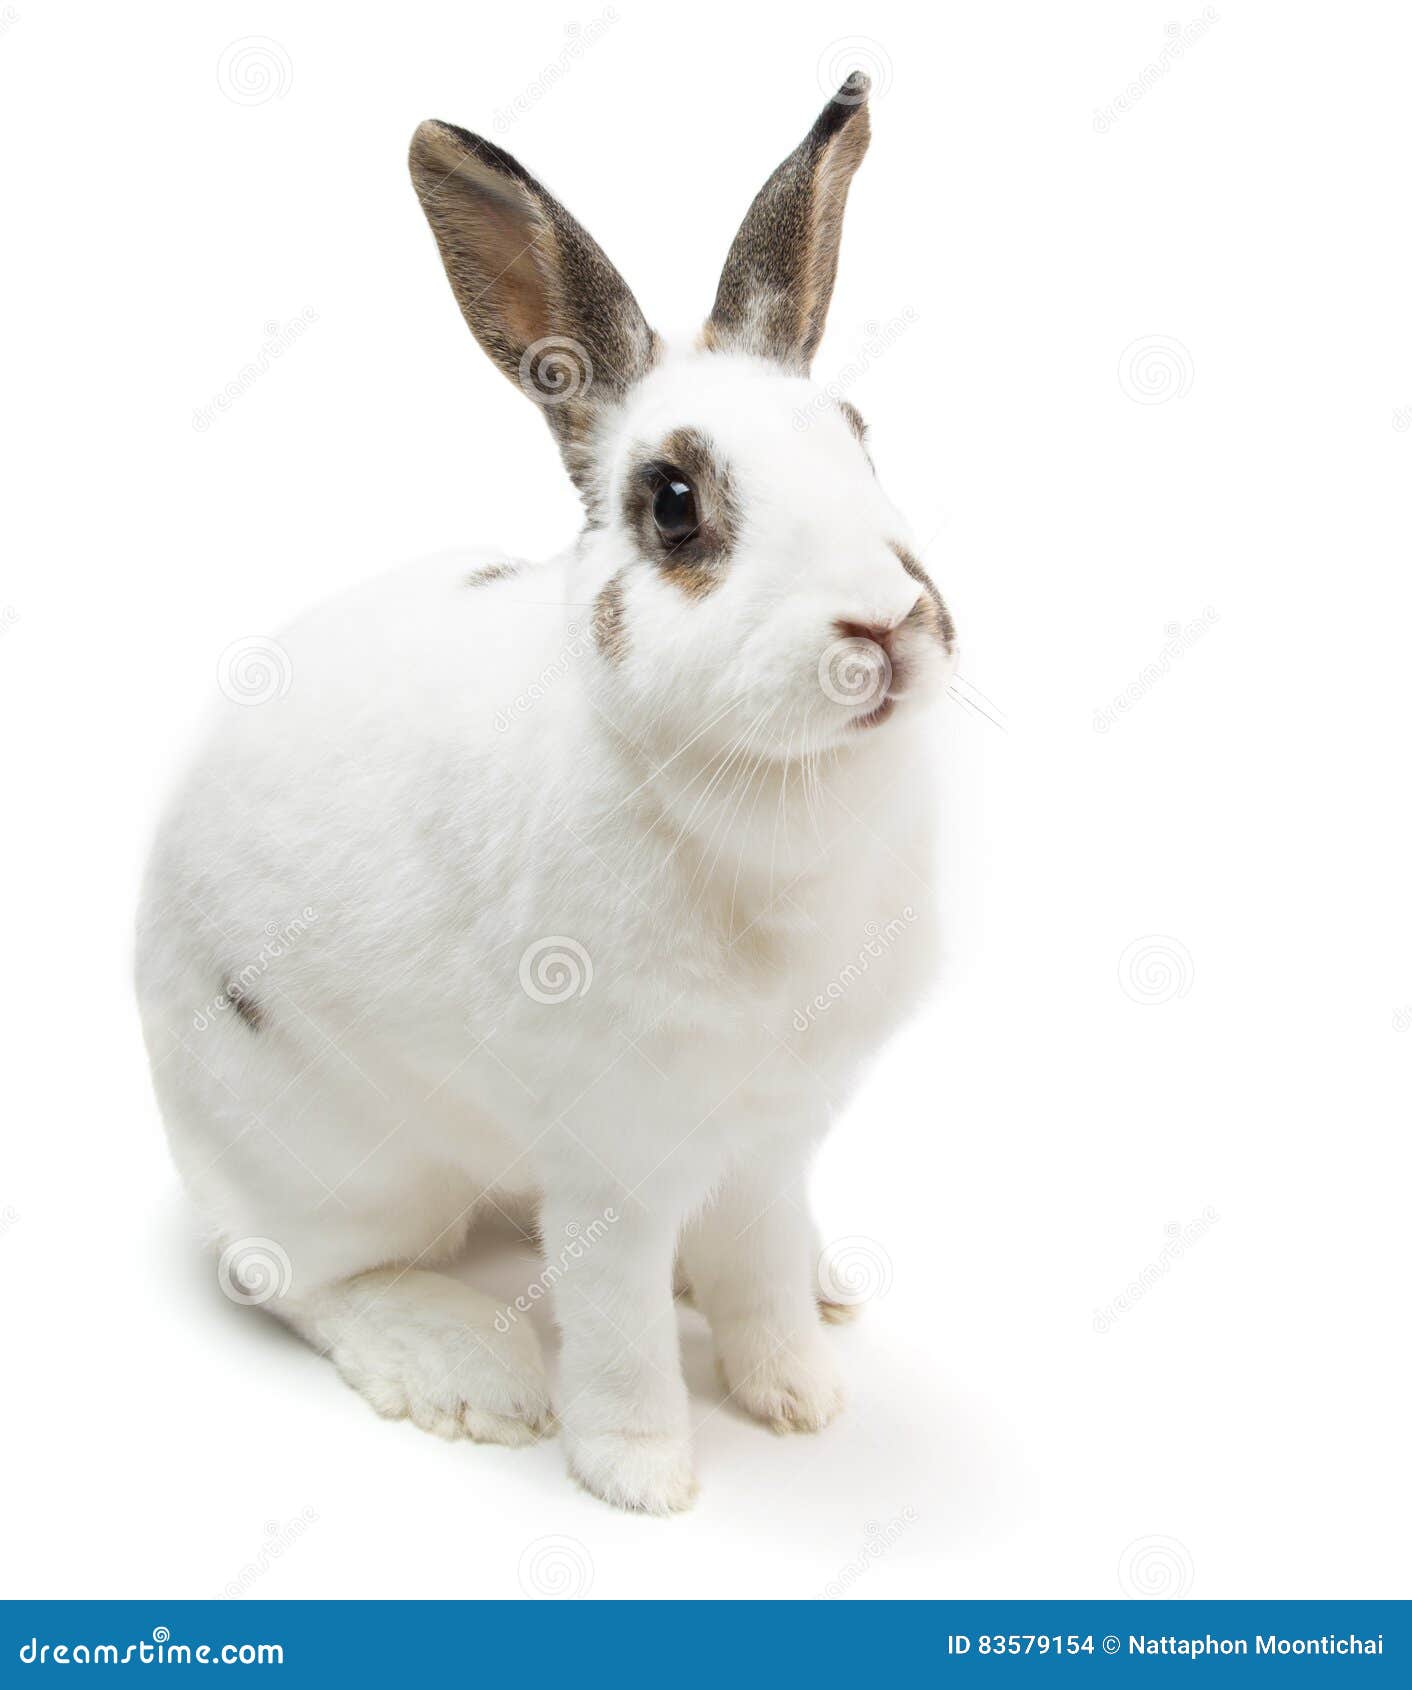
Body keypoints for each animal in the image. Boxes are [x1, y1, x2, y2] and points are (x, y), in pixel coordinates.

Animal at [135, 69, 956, 1514]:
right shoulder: (615, 1158)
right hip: (337, 1162)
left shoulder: (773, 1138)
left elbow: (756, 1271)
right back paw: (464, 1367)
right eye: (673, 501)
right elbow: (619, 1322)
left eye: (860, 440)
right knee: (290, 1274)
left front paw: (797, 1396)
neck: (774, 805)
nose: (888, 623)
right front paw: (642, 1474)